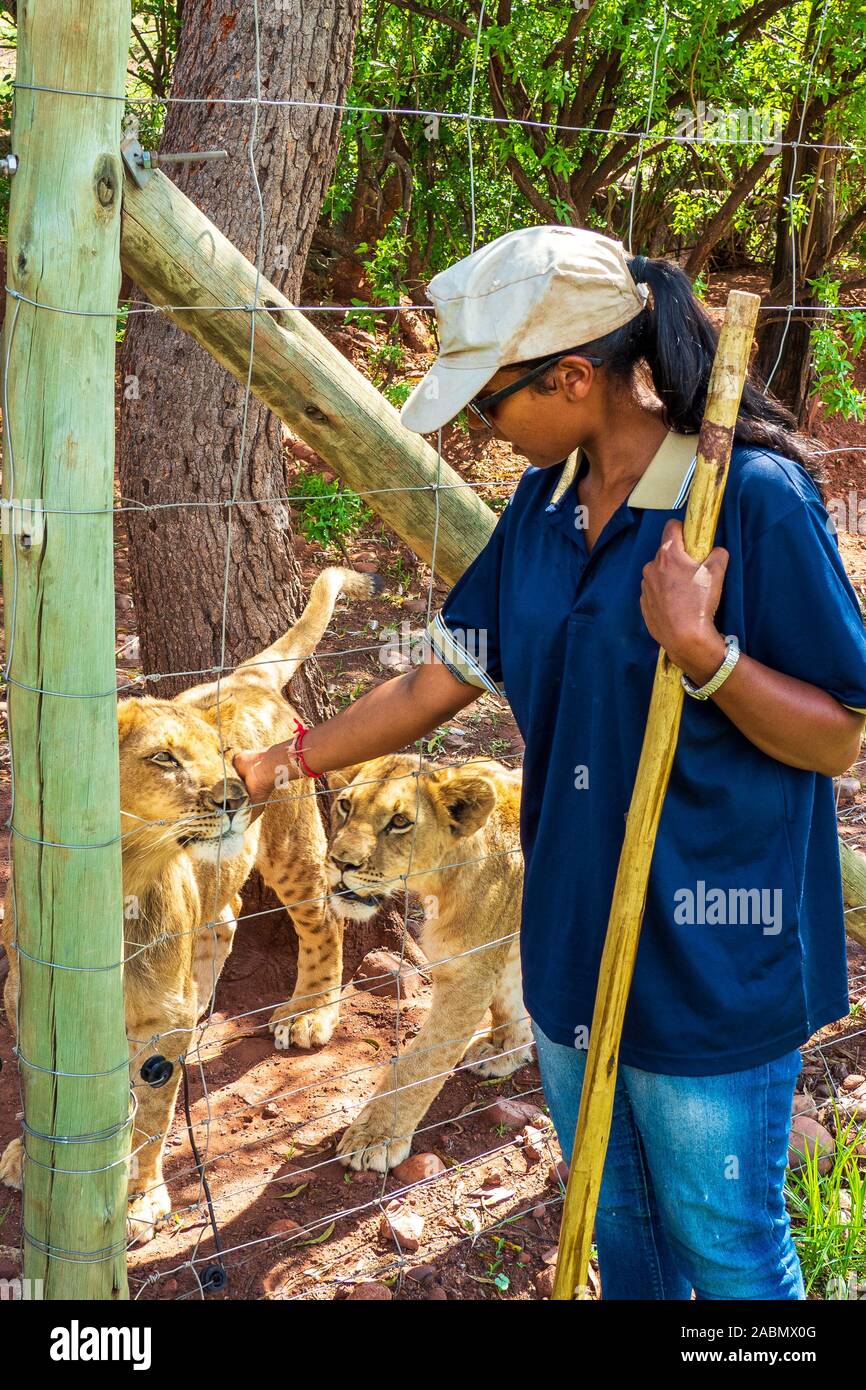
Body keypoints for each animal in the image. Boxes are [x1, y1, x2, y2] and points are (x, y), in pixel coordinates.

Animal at [0, 566, 380, 1242]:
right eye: (164, 758)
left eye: (220, 754)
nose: (235, 796)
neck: (121, 880)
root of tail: (247, 678)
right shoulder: (28, 1005)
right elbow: (36, 1090)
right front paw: (30, 1154)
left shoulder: (157, 1030)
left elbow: (151, 1114)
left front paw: (140, 1198)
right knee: (223, 917)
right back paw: (205, 998)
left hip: (294, 848)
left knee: (323, 922)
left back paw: (309, 1014)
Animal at [324, 753, 533, 1171]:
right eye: (345, 806)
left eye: (399, 822)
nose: (339, 862)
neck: (443, 878)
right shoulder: (502, 948)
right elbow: (508, 1000)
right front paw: (506, 1049)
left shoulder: (467, 976)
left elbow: (422, 1061)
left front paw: (375, 1136)